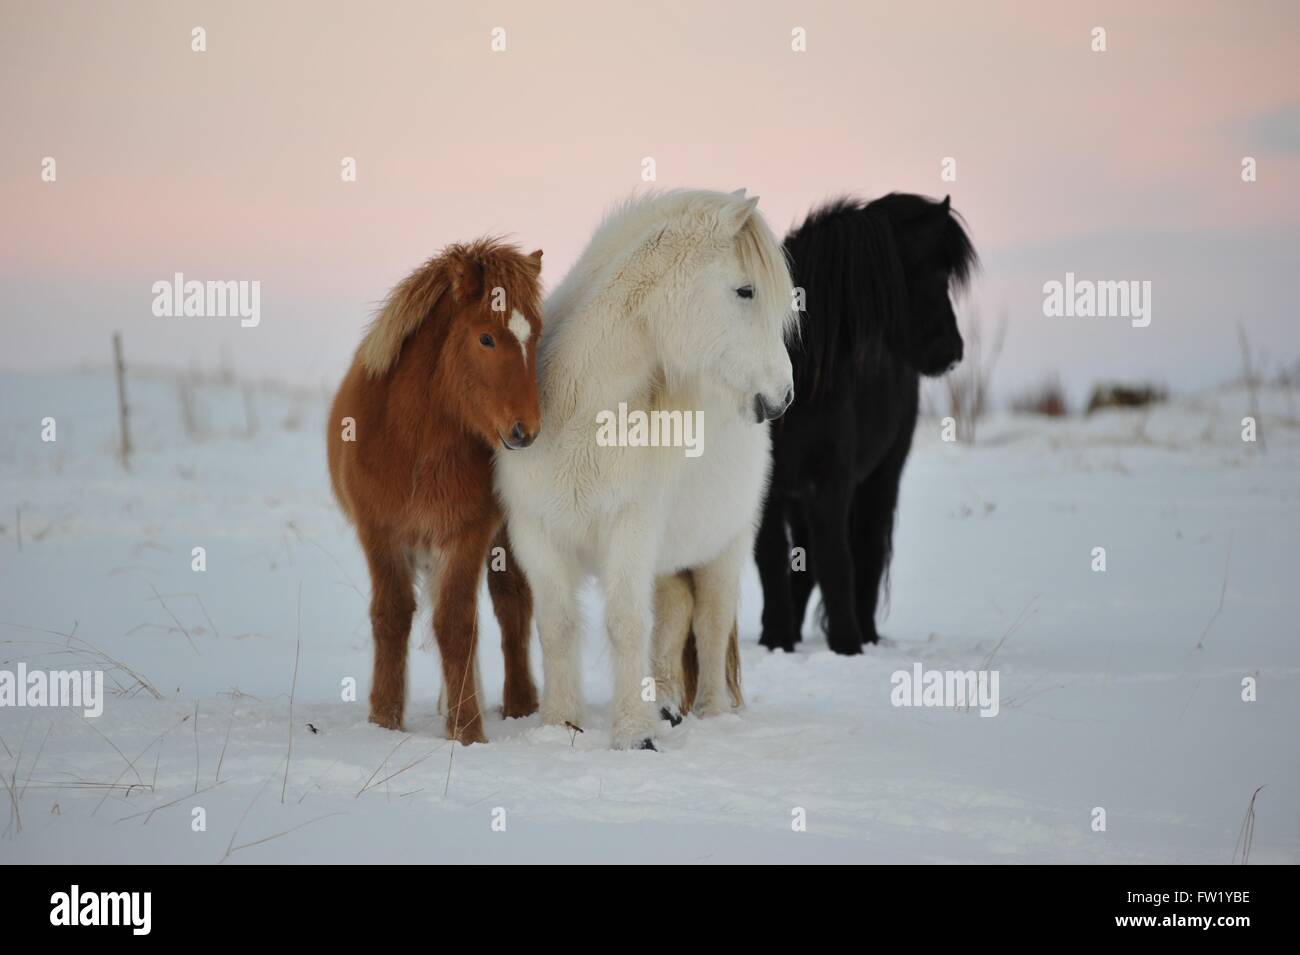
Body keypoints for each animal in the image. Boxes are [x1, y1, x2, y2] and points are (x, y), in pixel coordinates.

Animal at [327, 239, 545, 743]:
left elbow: (456, 624)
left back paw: (519, 705)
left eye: (536, 336)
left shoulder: (466, 535)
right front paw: (384, 720)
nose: (525, 431)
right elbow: (391, 616)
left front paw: (468, 731)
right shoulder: (380, 532)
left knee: (512, 603)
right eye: (486, 338)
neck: (416, 443)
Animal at [494, 189, 796, 749]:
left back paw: (711, 712)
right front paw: (560, 724)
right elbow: (558, 626)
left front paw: (634, 735)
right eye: (745, 290)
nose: (781, 396)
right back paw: (668, 704)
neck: (582, 415)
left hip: (726, 547)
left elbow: (625, 623)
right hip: (670, 560)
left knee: (712, 623)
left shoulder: (630, 528)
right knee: (676, 614)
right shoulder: (537, 534)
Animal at [755, 193, 978, 654]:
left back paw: (867, 633)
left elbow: (837, 559)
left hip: (882, 477)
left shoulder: (833, 484)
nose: (952, 352)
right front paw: (775, 640)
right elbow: (771, 558)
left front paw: (847, 644)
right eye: (937, 273)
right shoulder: (771, 488)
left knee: (867, 550)